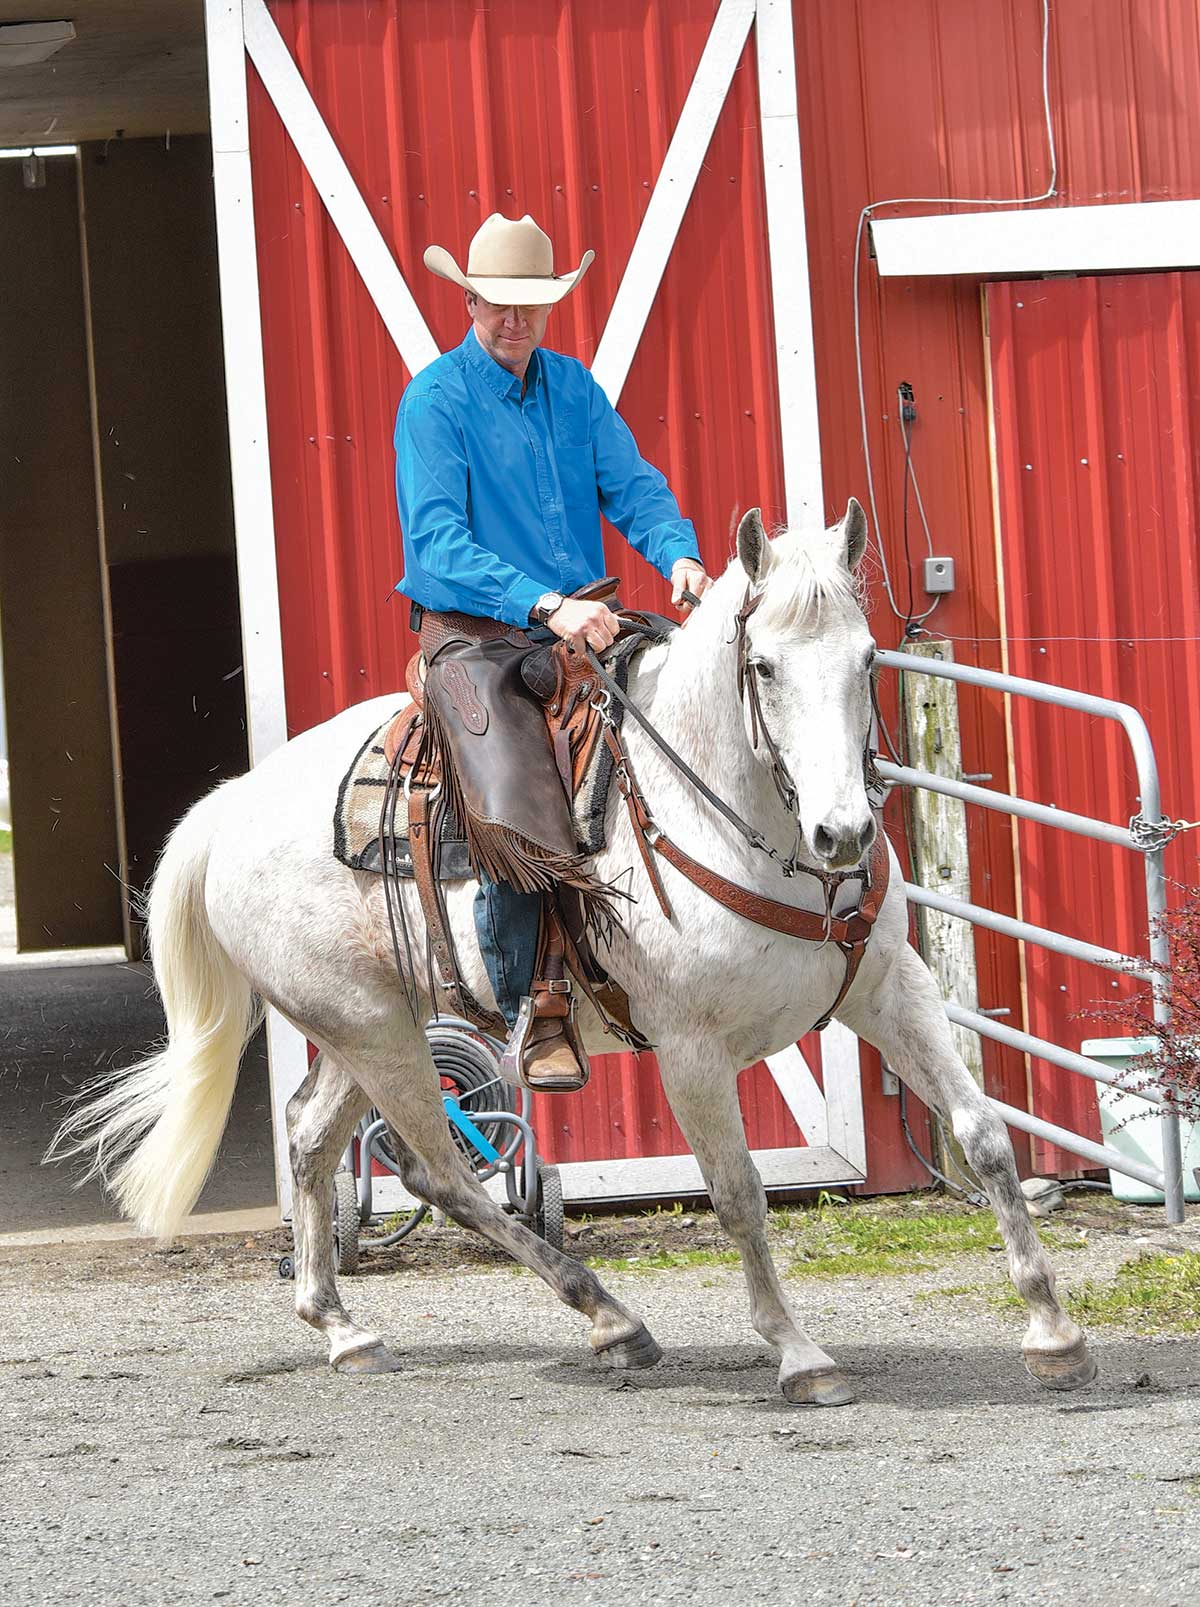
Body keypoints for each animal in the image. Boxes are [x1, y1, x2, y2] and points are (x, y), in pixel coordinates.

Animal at [51, 500, 1096, 1405]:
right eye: (762, 666)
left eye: (869, 656)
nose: (842, 833)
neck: (741, 823)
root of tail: (231, 805)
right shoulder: (693, 1050)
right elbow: (738, 1193)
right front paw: (801, 1355)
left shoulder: (887, 988)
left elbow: (984, 1133)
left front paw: (1054, 1332)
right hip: (373, 1031)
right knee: (441, 1172)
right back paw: (609, 1317)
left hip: (368, 1026)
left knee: (311, 1138)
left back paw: (345, 1328)